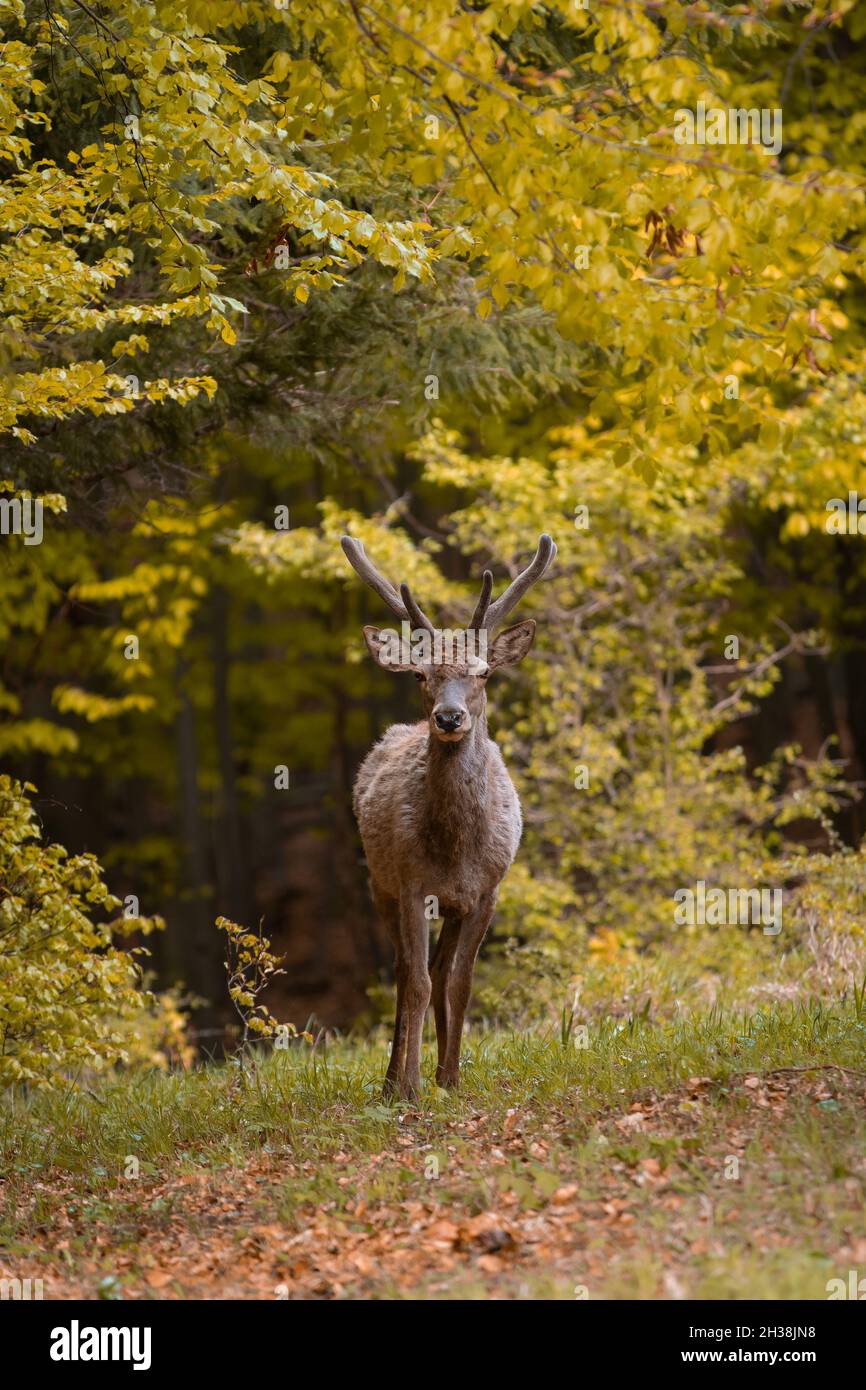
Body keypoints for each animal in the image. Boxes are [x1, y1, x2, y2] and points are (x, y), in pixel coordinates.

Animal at [341, 531, 556, 1100]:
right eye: (421, 672)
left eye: (482, 673)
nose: (449, 717)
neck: (456, 847)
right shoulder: (412, 884)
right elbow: (416, 981)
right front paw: (411, 1088)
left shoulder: (485, 892)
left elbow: (460, 981)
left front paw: (452, 1077)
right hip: (379, 883)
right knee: (404, 970)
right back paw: (392, 1079)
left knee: (440, 968)